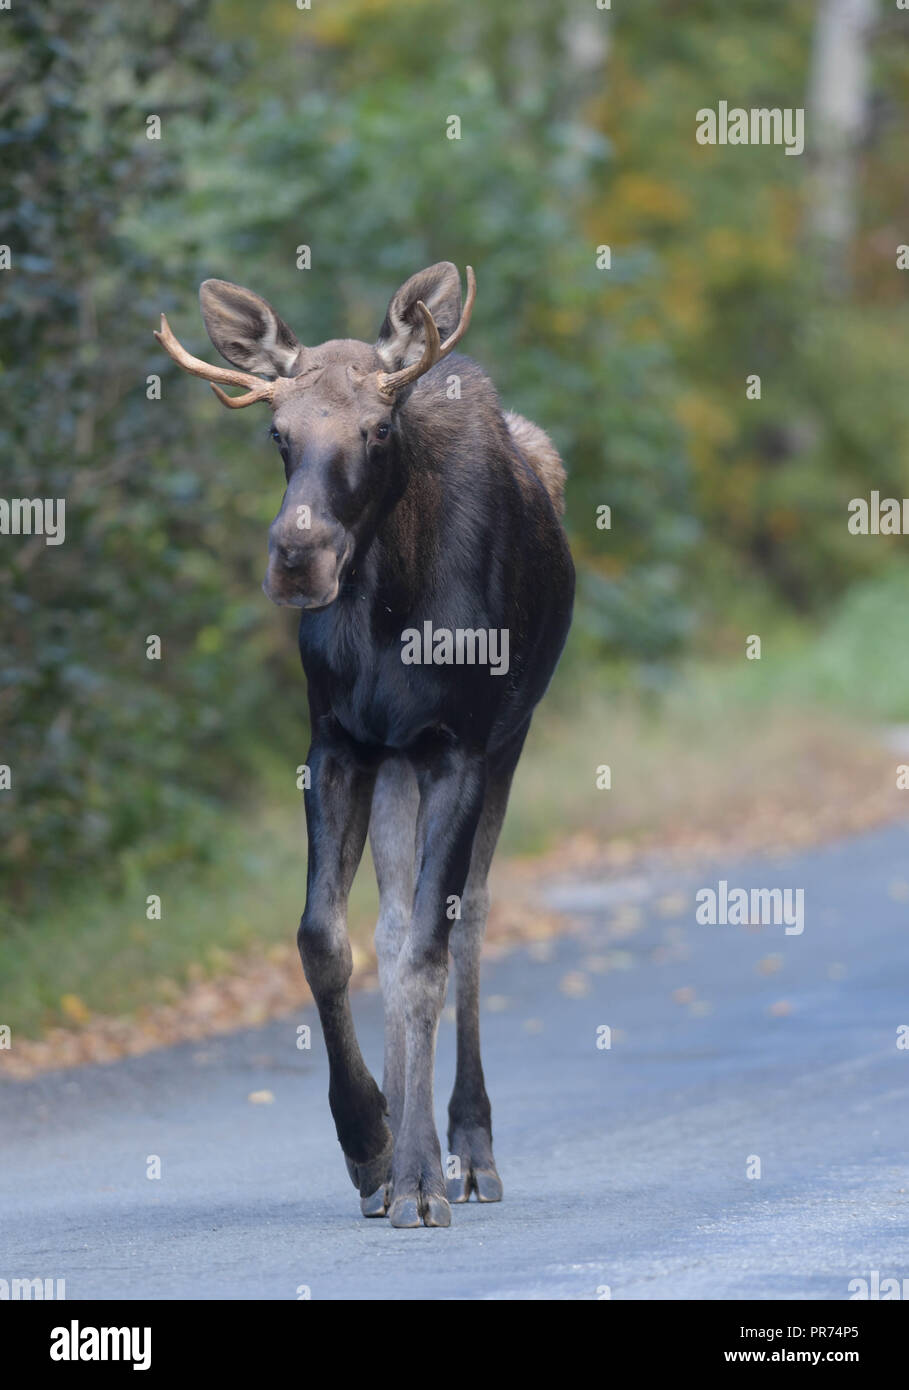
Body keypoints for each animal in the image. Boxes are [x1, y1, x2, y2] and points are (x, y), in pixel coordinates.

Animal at [155, 263, 574, 1227]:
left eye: (377, 429)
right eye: (277, 432)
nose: (297, 553)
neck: (391, 607)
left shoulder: (459, 745)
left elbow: (428, 951)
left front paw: (420, 1171)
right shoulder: (337, 742)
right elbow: (325, 939)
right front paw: (369, 1144)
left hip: (507, 739)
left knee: (466, 918)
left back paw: (467, 1149)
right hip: (395, 766)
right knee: (385, 926)